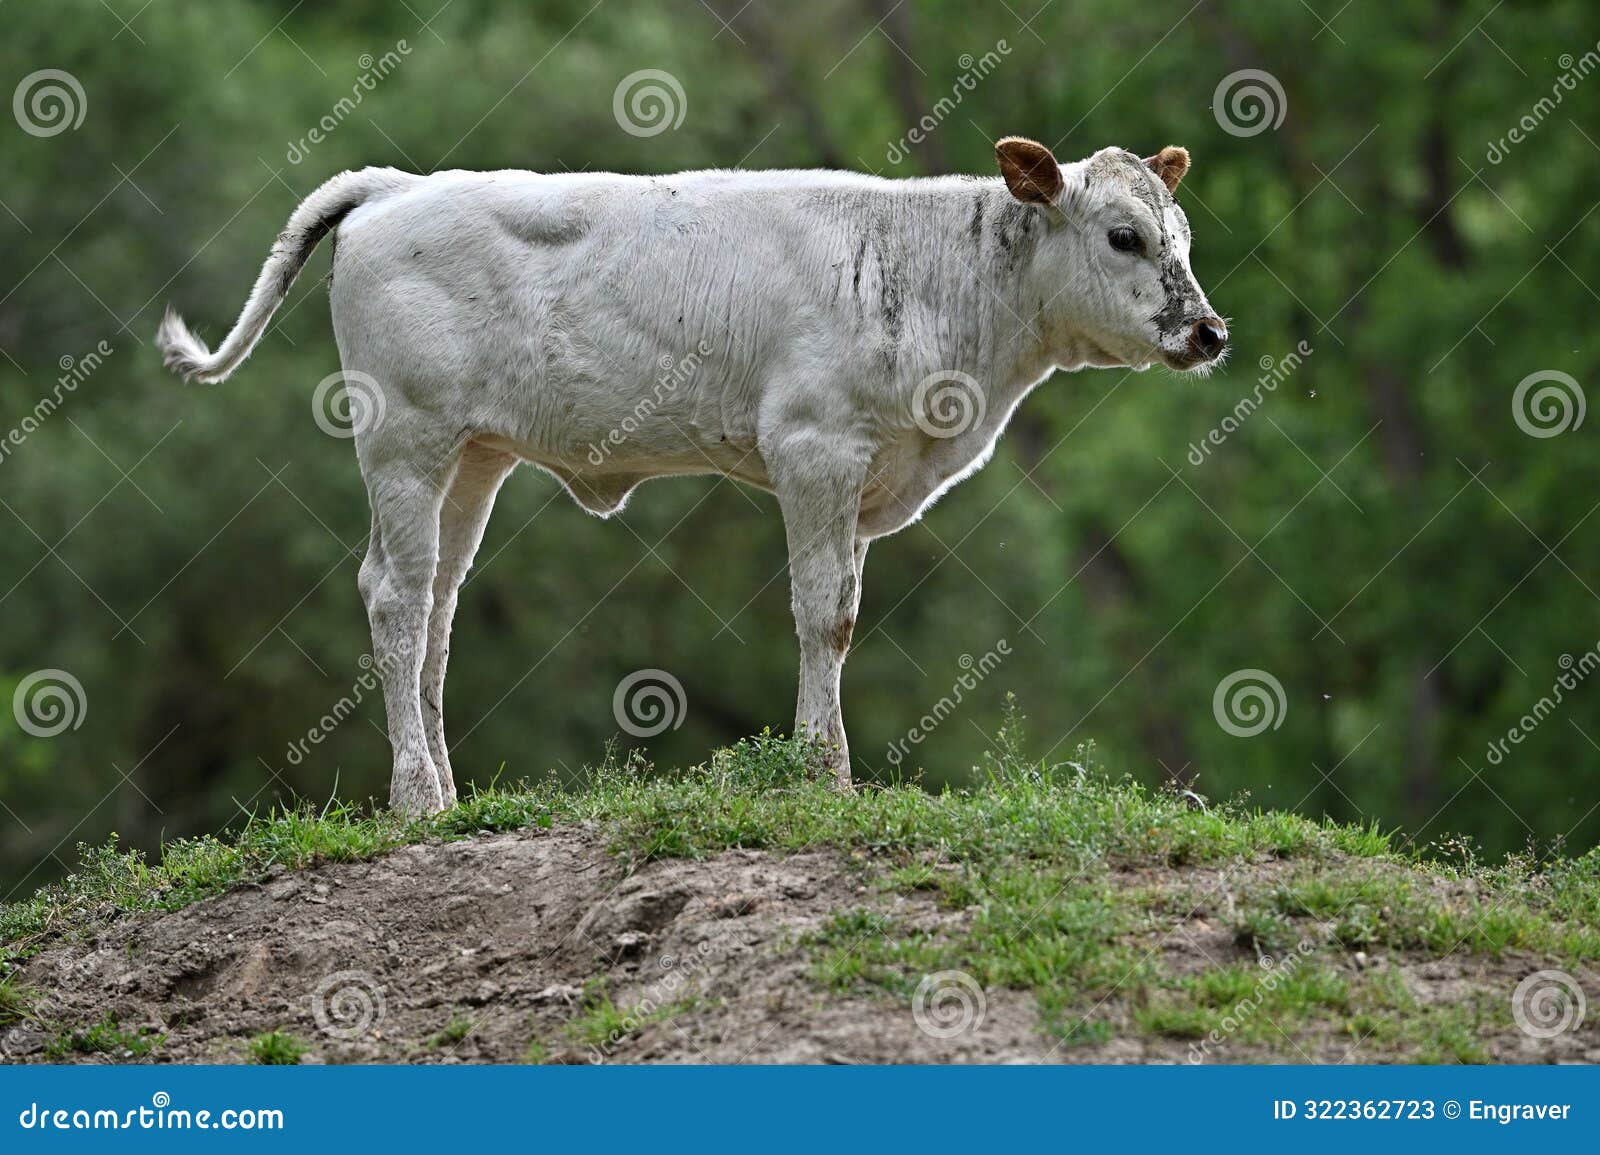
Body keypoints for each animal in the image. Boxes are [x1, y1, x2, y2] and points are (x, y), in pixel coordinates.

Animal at [157, 137, 1227, 816]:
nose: (1210, 330)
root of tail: (395, 186)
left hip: (473, 458)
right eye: (1125, 236)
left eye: (1182, 237)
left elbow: (840, 615)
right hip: (404, 442)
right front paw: (823, 771)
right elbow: (822, 615)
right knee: (393, 596)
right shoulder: (814, 451)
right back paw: (416, 799)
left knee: (437, 608)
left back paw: (446, 791)